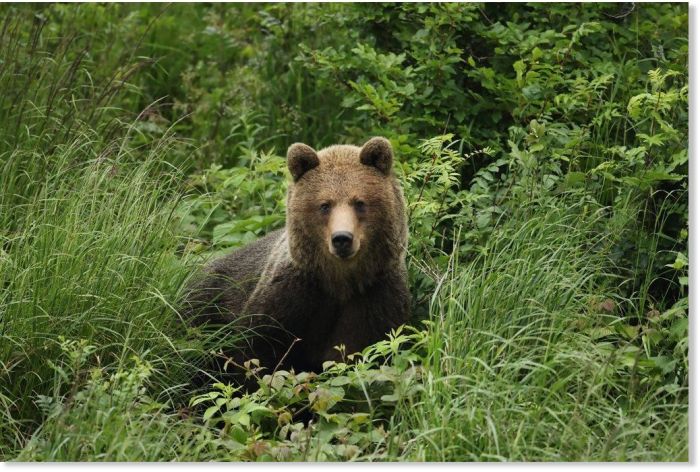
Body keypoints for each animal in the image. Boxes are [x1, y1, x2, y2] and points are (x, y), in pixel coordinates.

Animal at [183, 136, 410, 384]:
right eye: (325, 204)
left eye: (359, 202)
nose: (342, 238)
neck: (339, 280)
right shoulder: (291, 294)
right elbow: (256, 350)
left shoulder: (375, 296)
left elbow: (358, 352)